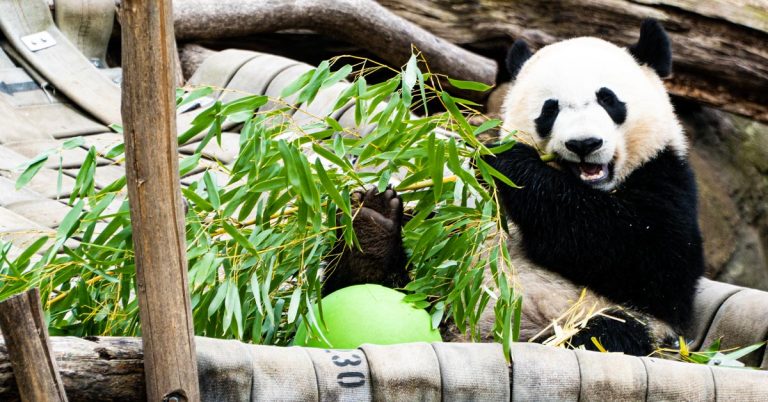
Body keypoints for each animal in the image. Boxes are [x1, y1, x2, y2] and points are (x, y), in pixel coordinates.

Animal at [325, 19, 704, 356]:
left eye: (608, 100)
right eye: (550, 109)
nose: (583, 143)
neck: (590, 187)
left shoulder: (667, 178)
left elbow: (645, 255)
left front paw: (507, 158)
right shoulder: (470, 199)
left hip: (598, 318)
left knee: (607, 333)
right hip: (438, 287)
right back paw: (370, 230)